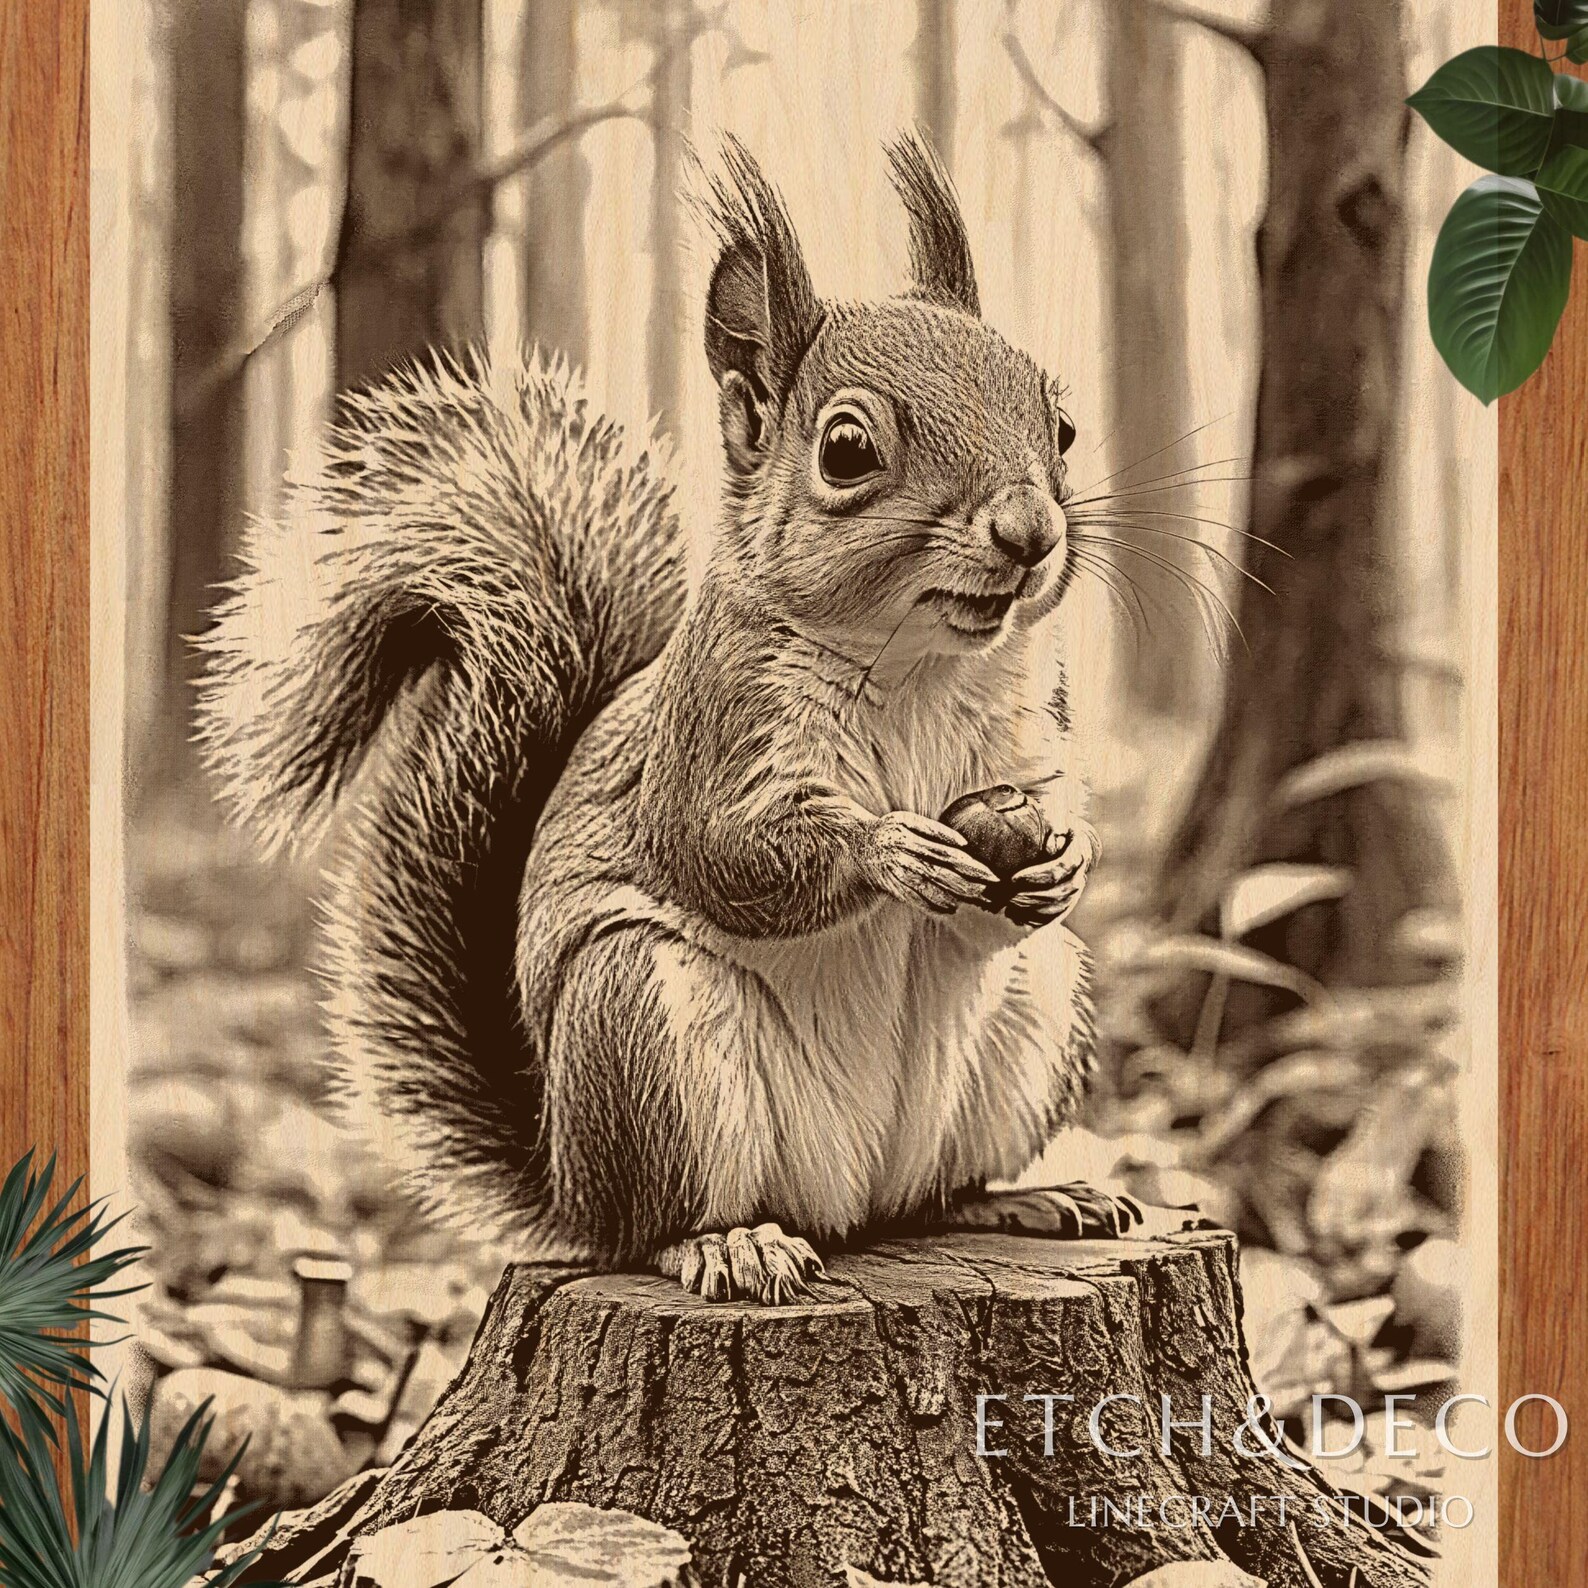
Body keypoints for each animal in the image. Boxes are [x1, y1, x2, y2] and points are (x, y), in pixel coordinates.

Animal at [198, 133, 1141, 1306]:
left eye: (1061, 424)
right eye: (846, 452)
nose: (1030, 532)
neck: (917, 661)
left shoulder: (1030, 732)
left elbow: (1049, 808)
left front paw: (1070, 859)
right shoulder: (711, 726)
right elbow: (716, 850)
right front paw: (891, 848)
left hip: (1035, 1012)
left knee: (935, 1191)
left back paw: (1024, 1198)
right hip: (640, 1028)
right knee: (654, 1221)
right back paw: (726, 1242)